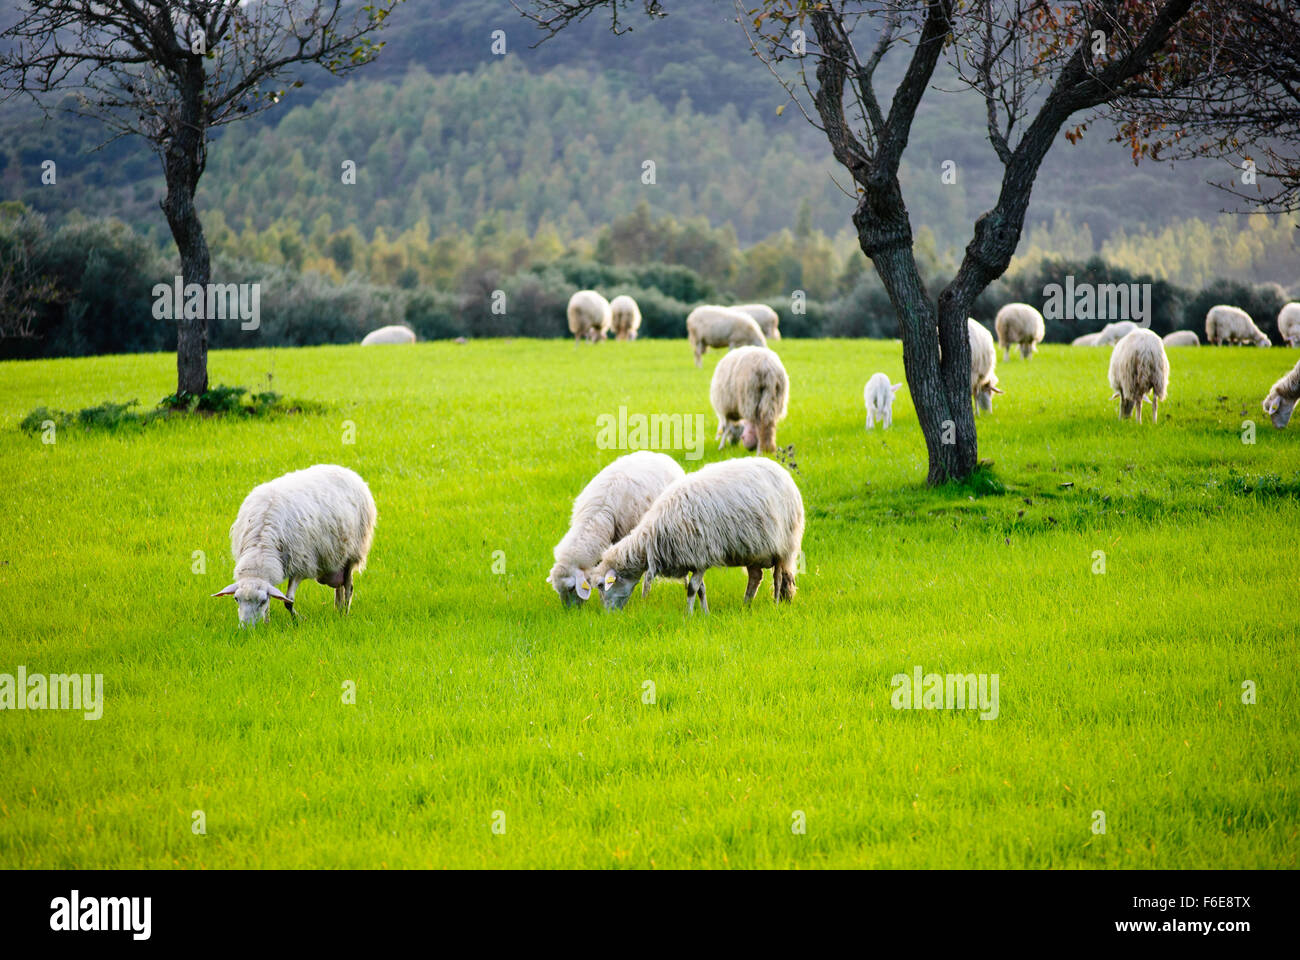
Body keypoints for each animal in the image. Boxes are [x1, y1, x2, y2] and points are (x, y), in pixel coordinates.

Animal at [212, 464, 376, 626]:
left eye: (262, 601)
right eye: (236, 599)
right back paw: (338, 609)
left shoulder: (301, 565)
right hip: (337, 558)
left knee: (348, 587)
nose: (246, 629)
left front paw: (299, 620)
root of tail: (346, 470)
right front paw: (267, 623)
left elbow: (288, 601)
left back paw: (345, 614)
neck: (261, 546)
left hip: (353, 553)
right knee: (339, 588)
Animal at [592, 457, 804, 614]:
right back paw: (746, 605)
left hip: (783, 544)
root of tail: (782, 472)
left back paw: (775, 605)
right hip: (753, 550)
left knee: (778, 577)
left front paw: (689, 615)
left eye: (603, 585)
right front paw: (705, 613)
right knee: (756, 577)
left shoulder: (702, 556)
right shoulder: (695, 559)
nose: (608, 615)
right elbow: (701, 589)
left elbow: (693, 588)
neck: (651, 539)